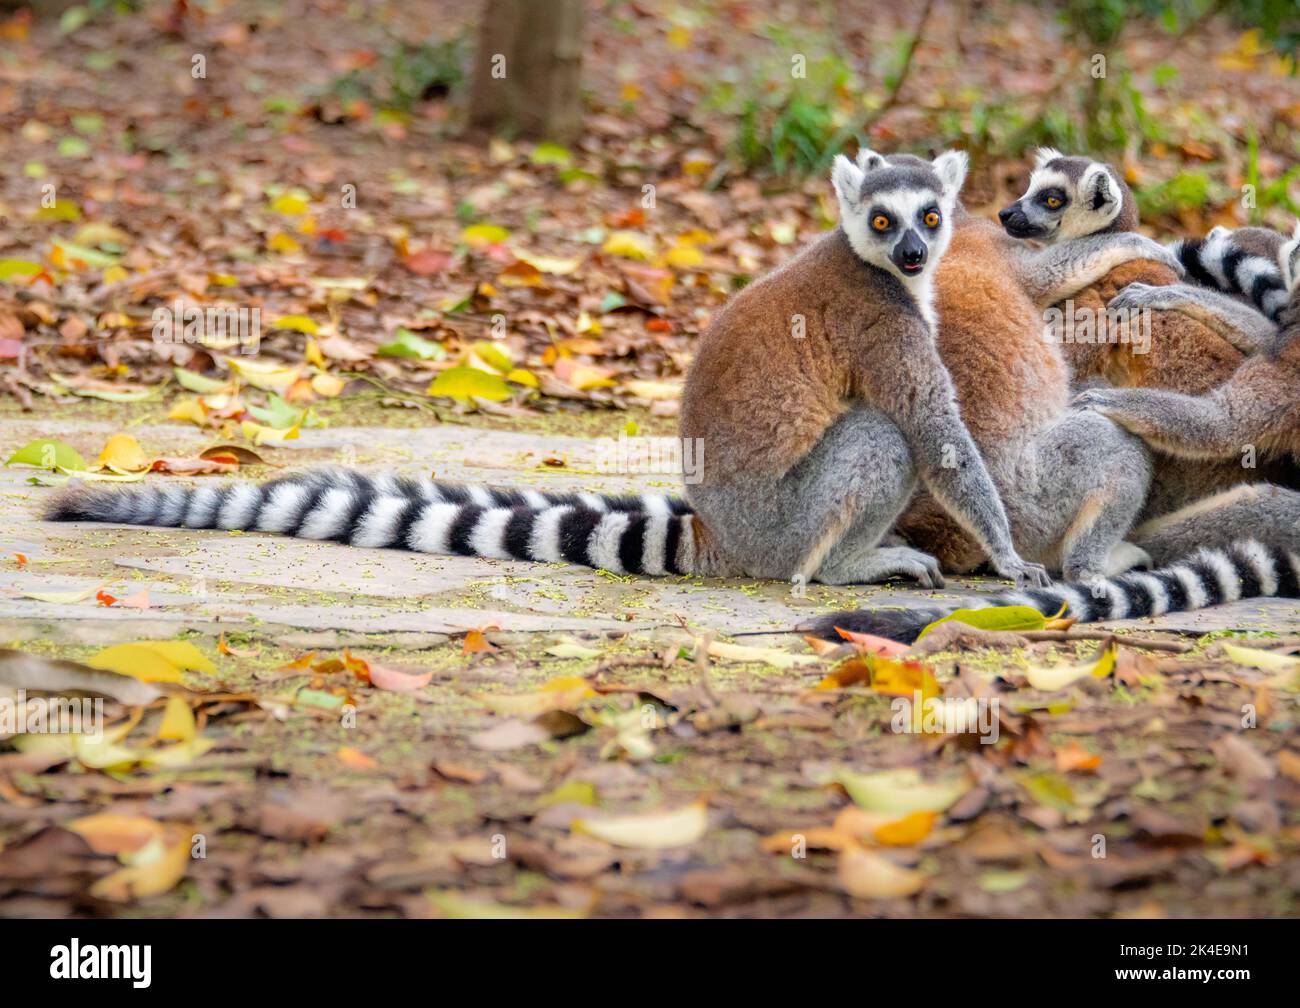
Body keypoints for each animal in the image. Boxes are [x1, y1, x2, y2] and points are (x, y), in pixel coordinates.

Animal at [47, 150, 1050, 590]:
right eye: (884, 222)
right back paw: (847, 569)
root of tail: (720, 535)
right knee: (877, 444)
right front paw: (1010, 558)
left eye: (929, 215)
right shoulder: (882, 322)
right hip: (783, 525)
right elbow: (933, 433)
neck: (883, 274)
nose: (916, 252)